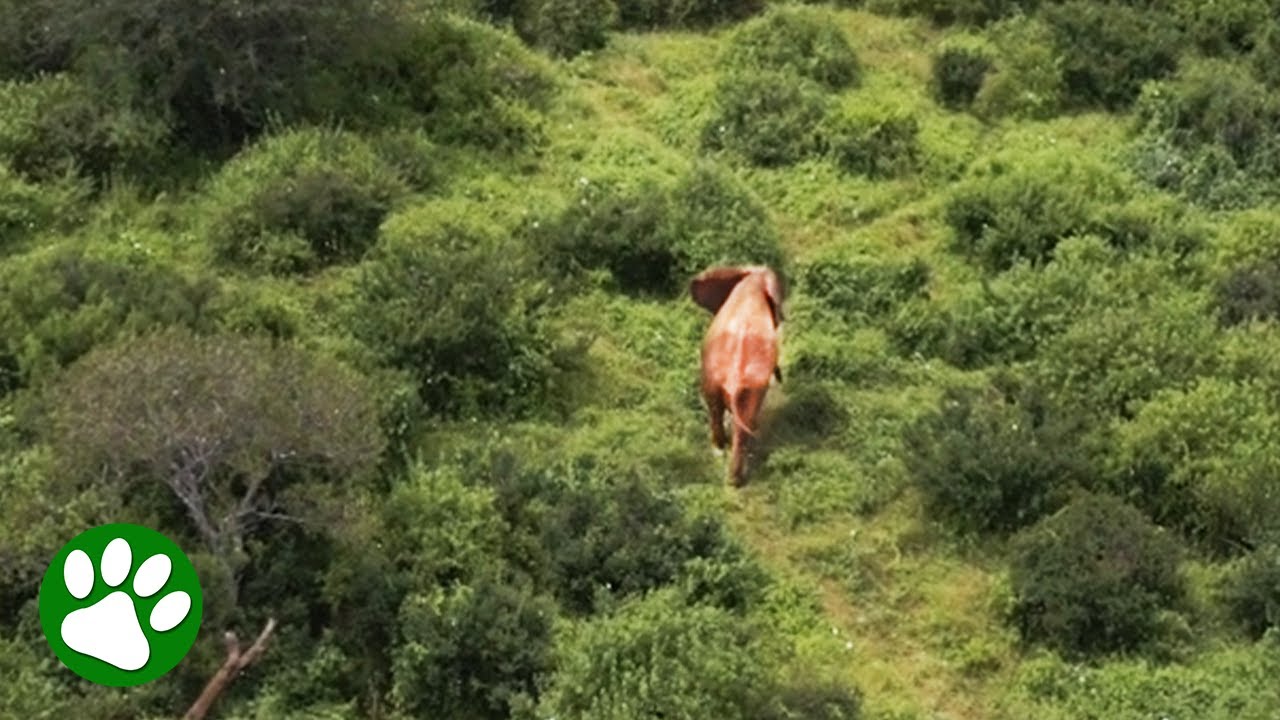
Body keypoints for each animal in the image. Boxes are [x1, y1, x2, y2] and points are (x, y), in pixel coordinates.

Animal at [690, 265, 785, 486]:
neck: (752, 281)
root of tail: (733, 382)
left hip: (713, 379)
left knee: (716, 413)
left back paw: (721, 456)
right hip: (747, 390)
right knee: (741, 427)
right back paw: (736, 479)